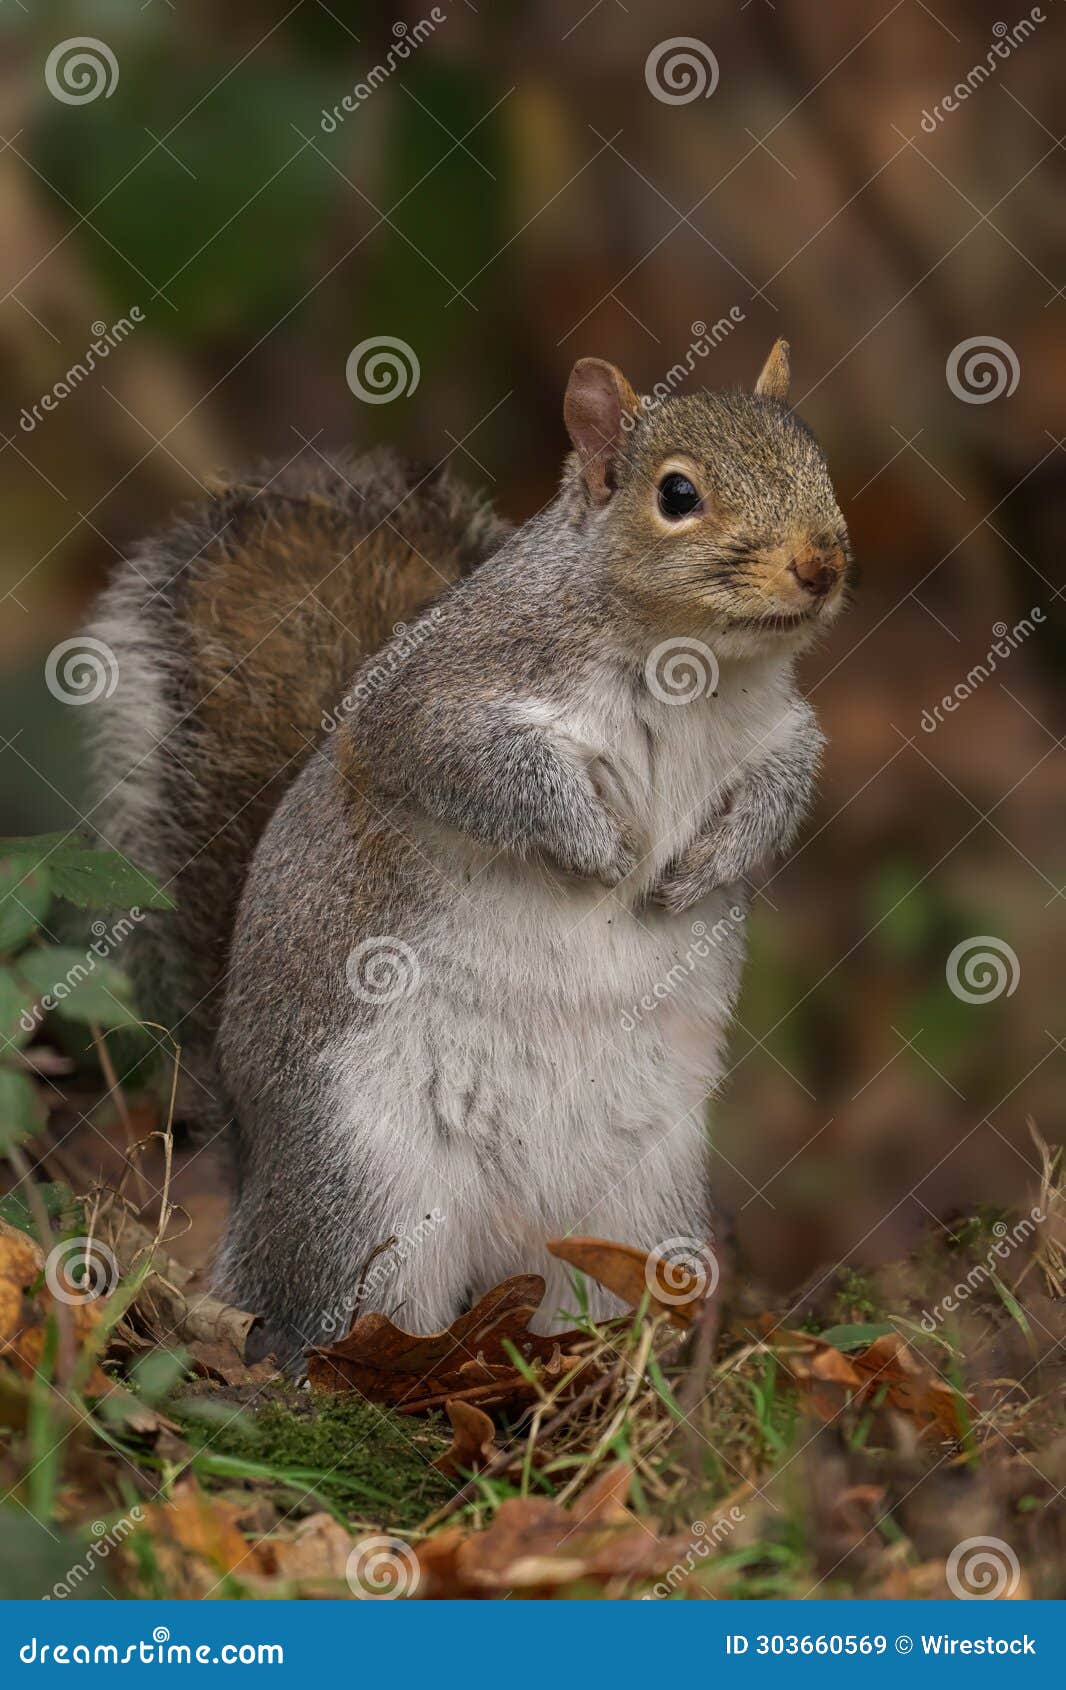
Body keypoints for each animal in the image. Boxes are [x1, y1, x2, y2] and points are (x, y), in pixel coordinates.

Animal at [88, 339, 851, 1365]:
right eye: (678, 494)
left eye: (818, 460)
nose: (820, 565)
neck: (697, 668)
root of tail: (250, 1162)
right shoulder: (439, 700)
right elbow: (484, 772)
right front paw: (600, 850)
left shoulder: (780, 735)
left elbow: (781, 793)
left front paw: (707, 865)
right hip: (364, 1186)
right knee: (334, 1308)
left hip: (639, 1203)